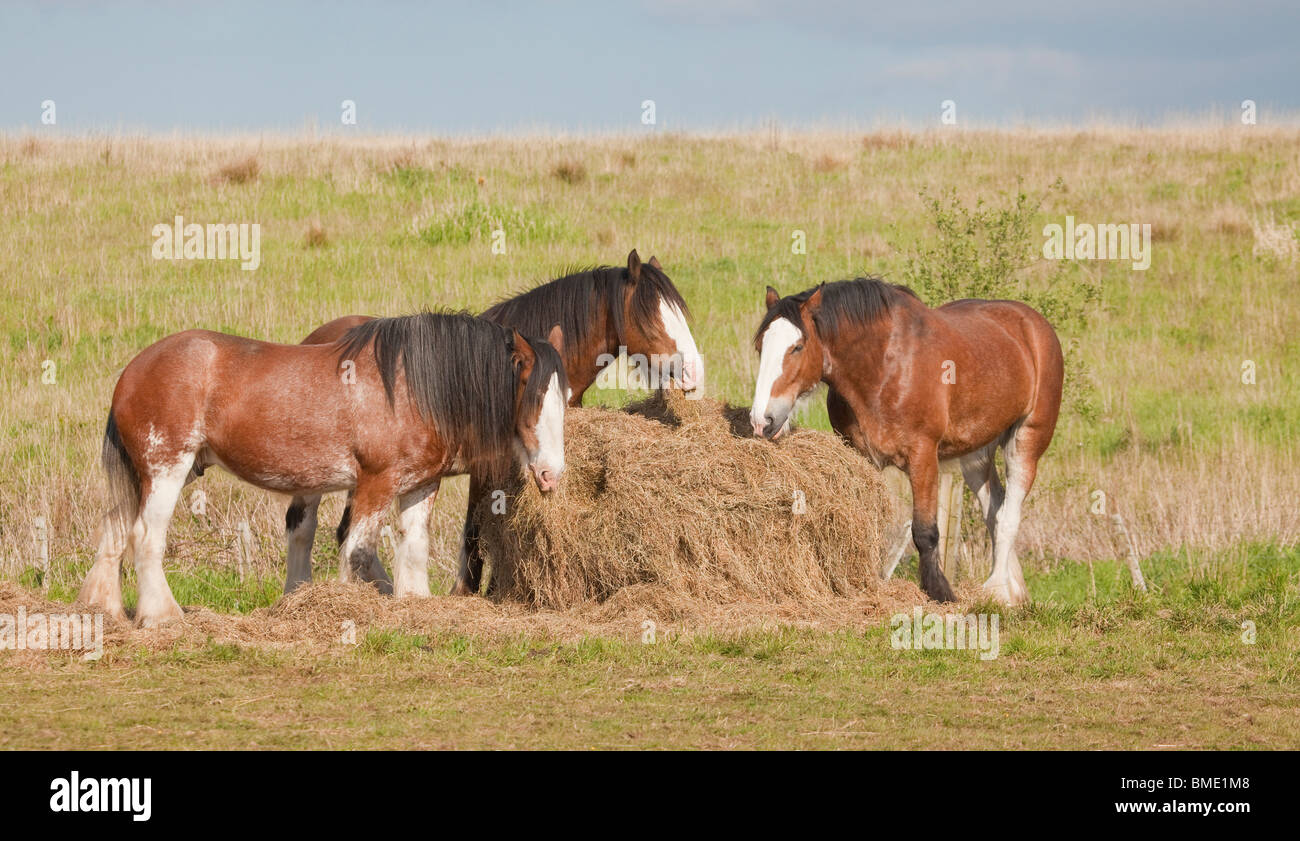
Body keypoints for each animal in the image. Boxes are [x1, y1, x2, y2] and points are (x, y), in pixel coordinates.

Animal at [78, 312, 568, 627]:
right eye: (533, 397)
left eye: (564, 398)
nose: (552, 476)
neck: (414, 388)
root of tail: (132, 372)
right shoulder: (375, 484)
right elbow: (357, 551)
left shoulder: (420, 485)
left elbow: (414, 550)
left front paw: (413, 604)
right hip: (166, 470)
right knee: (145, 536)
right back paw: (161, 616)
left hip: (141, 477)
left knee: (116, 531)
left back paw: (104, 611)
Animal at [750, 278, 1063, 605]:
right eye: (760, 347)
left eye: (797, 347)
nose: (762, 421)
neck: (884, 368)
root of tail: (1034, 325)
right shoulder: (864, 457)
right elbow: (872, 522)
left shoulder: (922, 456)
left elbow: (925, 531)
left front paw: (939, 591)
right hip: (977, 455)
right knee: (995, 511)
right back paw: (1012, 590)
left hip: (1027, 441)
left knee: (1009, 515)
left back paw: (999, 589)